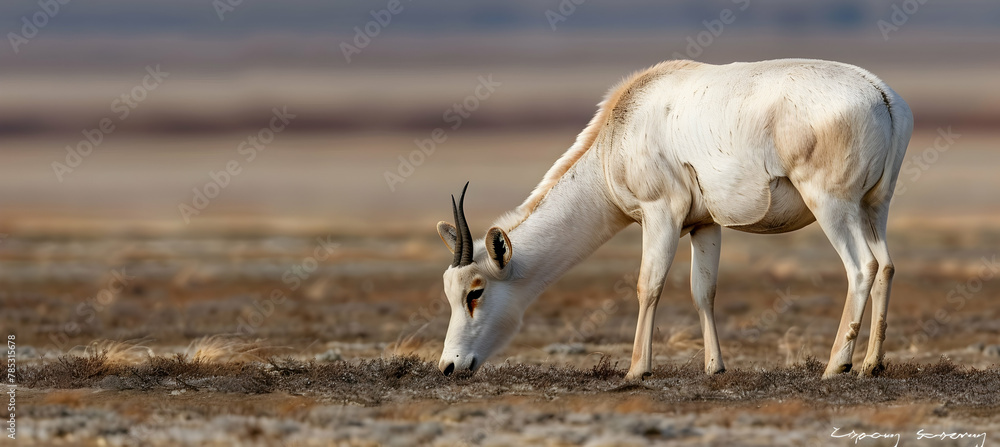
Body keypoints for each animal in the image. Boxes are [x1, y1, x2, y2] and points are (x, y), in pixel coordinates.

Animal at [435, 59, 912, 380]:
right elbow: (704, 291)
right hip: (874, 206)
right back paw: (871, 365)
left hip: (831, 204)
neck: (620, 125)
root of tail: (881, 95)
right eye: (451, 293)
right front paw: (714, 368)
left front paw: (636, 371)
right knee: (887, 265)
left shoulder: (659, 212)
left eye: (475, 291)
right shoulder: (705, 225)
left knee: (862, 266)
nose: (449, 365)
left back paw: (836, 365)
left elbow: (649, 285)